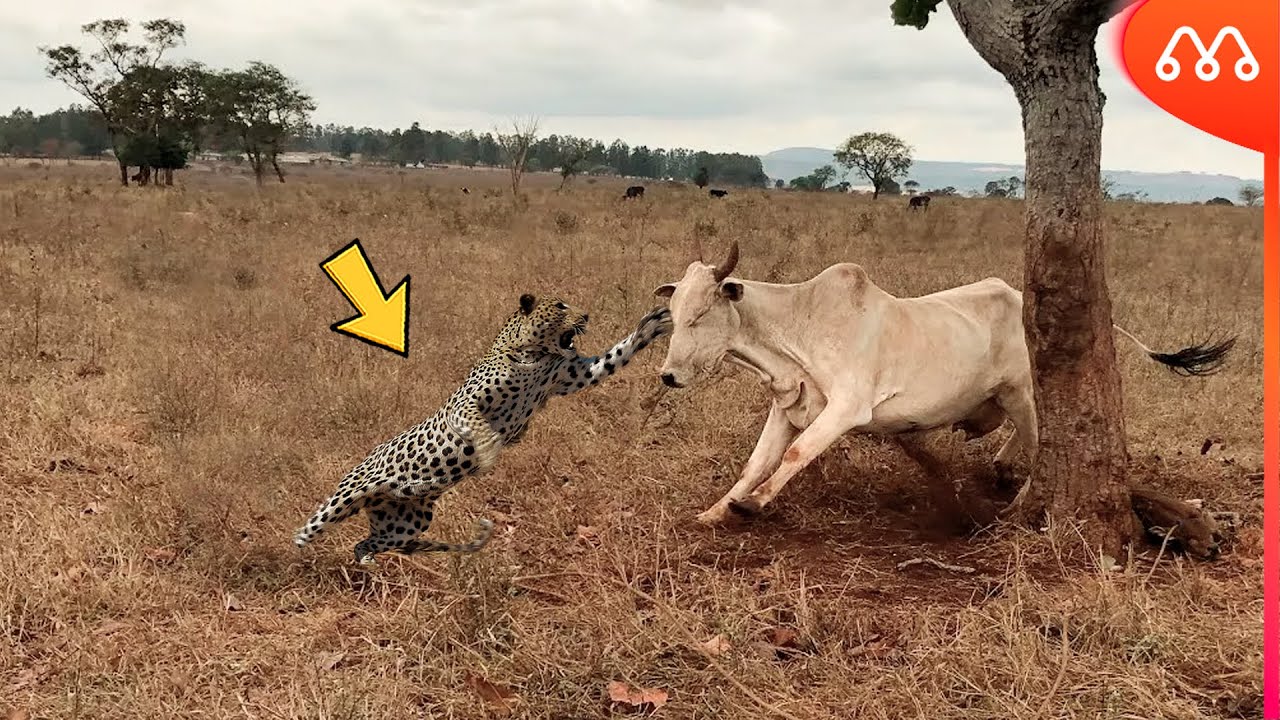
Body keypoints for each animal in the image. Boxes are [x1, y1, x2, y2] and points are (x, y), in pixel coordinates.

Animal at [294, 293, 672, 565]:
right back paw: (293, 554)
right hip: (347, 497)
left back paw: (366, 560)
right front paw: (490, 453)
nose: (587, 315)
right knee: (310, 526)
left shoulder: (573, 375)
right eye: (560, 306)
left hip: (406, 523)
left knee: (365, 543)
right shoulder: (463, 407)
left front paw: (654, 324)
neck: (536, 354)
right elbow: (482, 427)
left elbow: (616, 354)